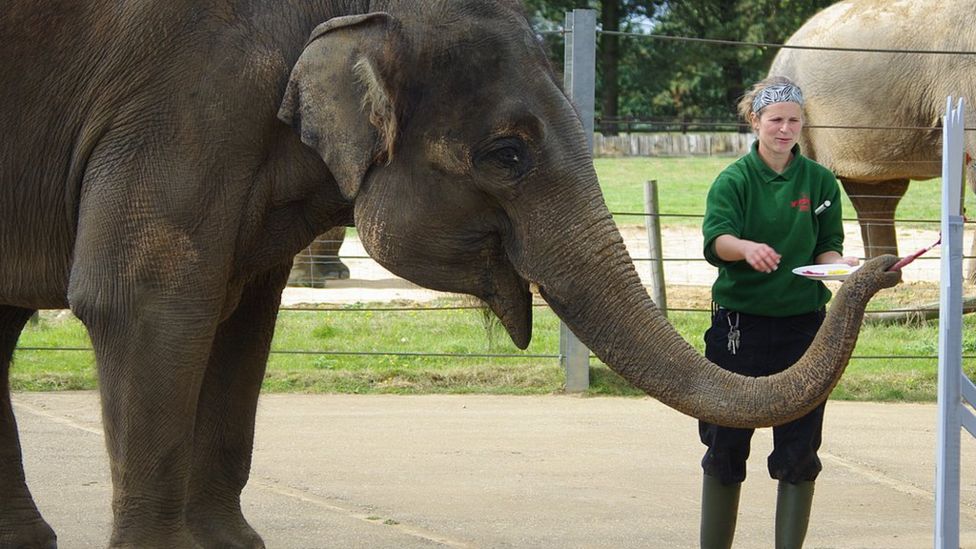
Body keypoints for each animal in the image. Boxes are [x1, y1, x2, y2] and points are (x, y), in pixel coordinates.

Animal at [0, 1, 900, 547]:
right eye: (507, 154)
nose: (883, 264)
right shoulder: (183, 101)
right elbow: (141, 300)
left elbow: (242, 320)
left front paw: (231, 543)